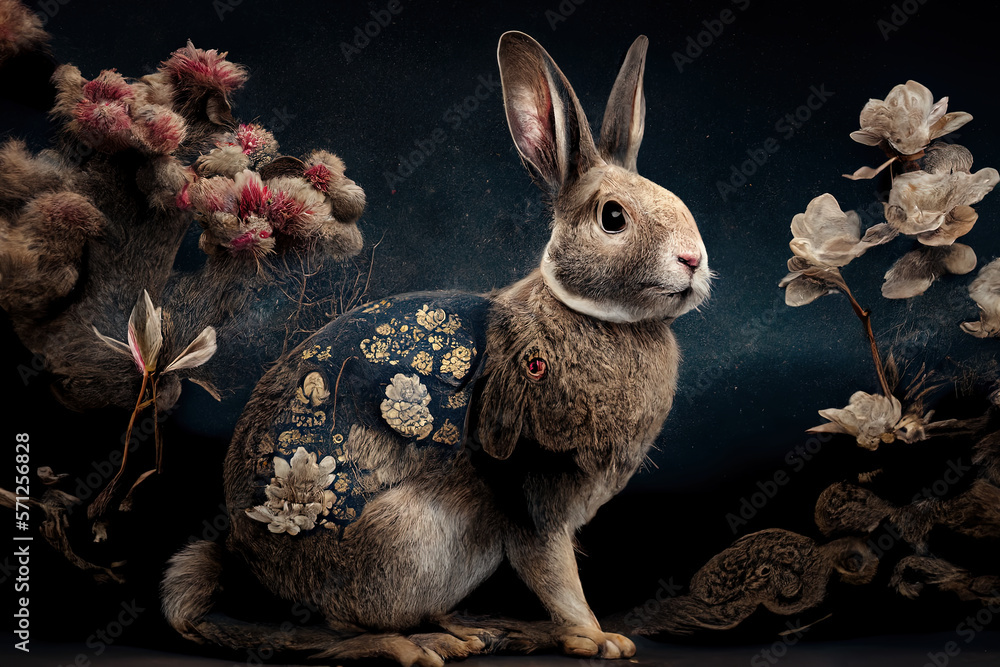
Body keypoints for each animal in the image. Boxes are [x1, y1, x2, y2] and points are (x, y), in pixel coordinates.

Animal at [161, 30, 710, 665]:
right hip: (405, 538)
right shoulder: (529, 495)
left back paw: (465, 631)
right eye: (613, 217)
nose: (693, 260)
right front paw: (601, 639)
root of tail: (249, 564)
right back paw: (417, 646)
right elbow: (557, 577)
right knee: (341, 627)